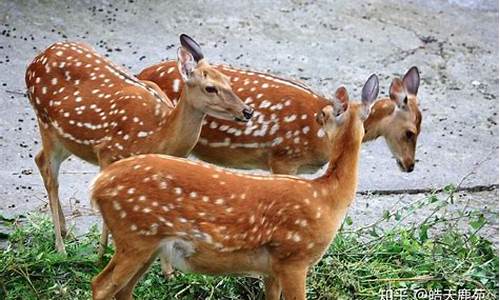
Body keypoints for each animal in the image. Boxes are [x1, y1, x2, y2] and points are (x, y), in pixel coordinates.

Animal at [24, 34, 252, 255]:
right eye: (210, 88)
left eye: (228, 81)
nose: (247, 111)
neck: (156, 135)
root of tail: (36, 60)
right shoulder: (107, 151)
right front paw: (101, 254)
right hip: (45, 121)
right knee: (51, 176)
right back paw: (61, 247)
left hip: (66, 139)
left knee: (39, 158)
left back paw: (64, 230)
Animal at [91, 75, 378, 300]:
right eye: (325, 113)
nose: (318, 117)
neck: (328, 196)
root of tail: (97, 185)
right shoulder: (293, 256)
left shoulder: (272, 267)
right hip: (135, 236)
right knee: (101, 285)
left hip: (146, 243)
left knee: (121, 289)